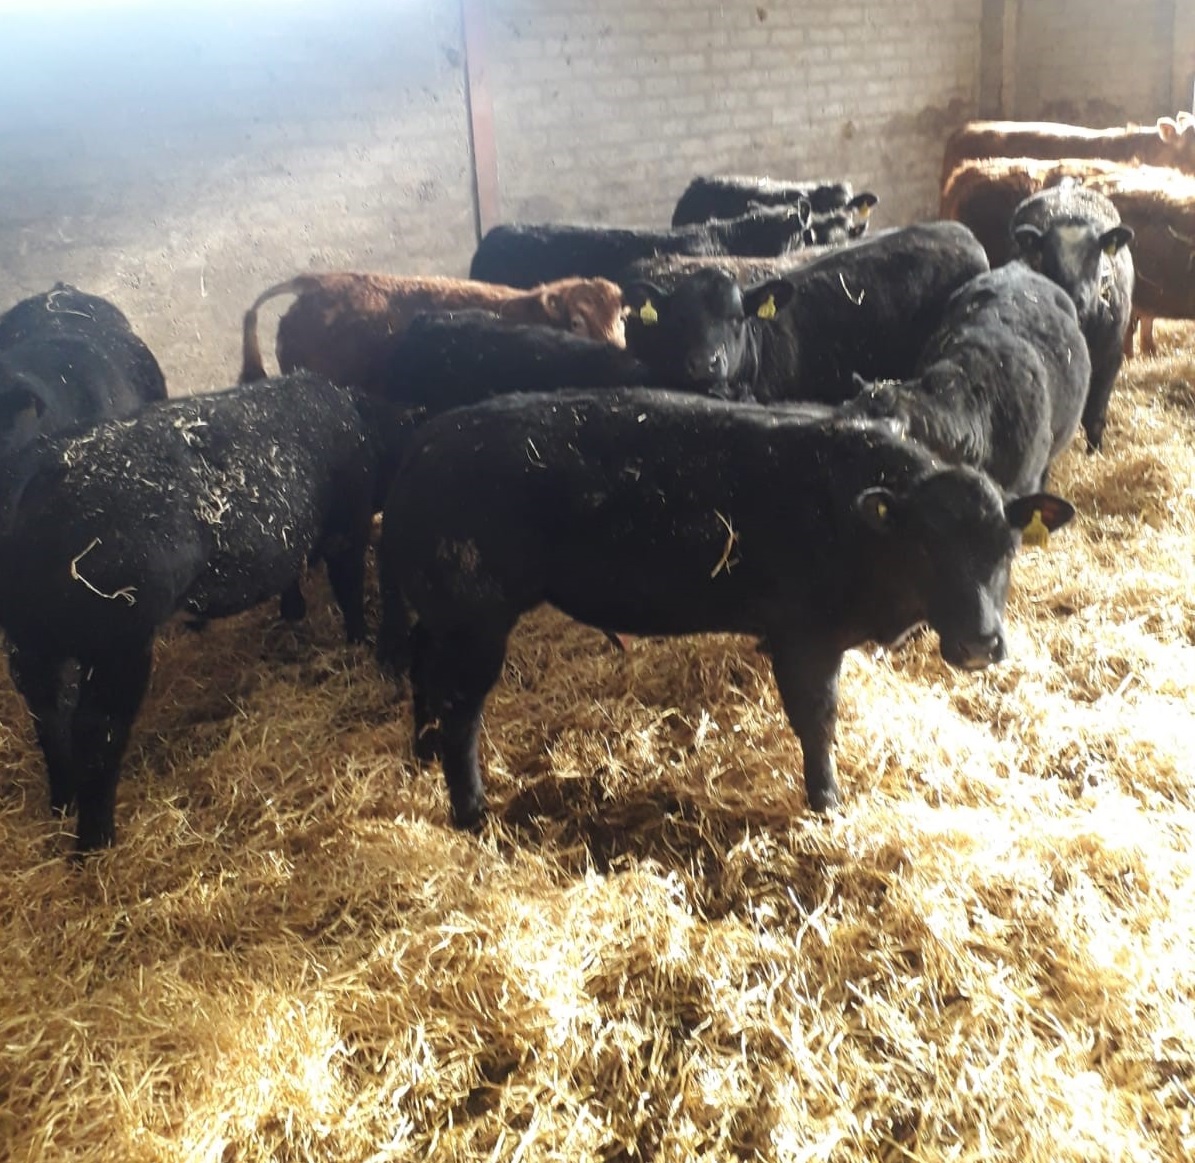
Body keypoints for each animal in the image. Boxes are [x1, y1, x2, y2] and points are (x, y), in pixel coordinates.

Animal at [0, 372, 415, 851]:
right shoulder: (347, 525)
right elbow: (348, 587)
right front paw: (358, 641)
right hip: (120, 636)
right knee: (96, 730)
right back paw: (95, 843)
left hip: (30, 640)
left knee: (48, 716)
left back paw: (62, 806)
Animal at [375, 387, 1074, 829]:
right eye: (926, 545)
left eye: (1009, 546)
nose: (981, 642)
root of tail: (424, 442)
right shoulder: (805, 637)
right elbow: (818, 720)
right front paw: (827, 801)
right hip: (474, 619)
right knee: (461, 708)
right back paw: (470, 810)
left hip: (440, 616)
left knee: (422, 672)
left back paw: (421, 753)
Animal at [1011, 185, 1134, 451]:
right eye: (1048, 255)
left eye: (1094, 255)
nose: (1076, 297)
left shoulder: (1111, 357)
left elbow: (1095, 416)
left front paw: (1095, 452)